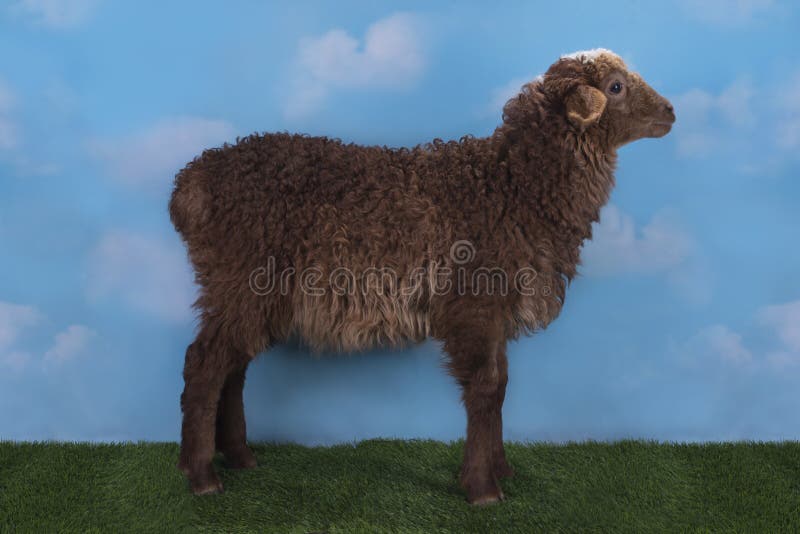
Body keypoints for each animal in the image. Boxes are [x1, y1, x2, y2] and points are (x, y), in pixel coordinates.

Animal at [169, 48, 675, 504]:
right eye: (615, 86)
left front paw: (501, 469)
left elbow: (501, 387)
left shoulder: (495, 312)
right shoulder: (473, 304)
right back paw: (201, 476)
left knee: (234, 367)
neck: (511, 186)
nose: (671, 112)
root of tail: (189, 185)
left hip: (248, 293)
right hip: (242, 279)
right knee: (205, 364)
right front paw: (482, 488)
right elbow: (485, 387)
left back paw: (239, 457)